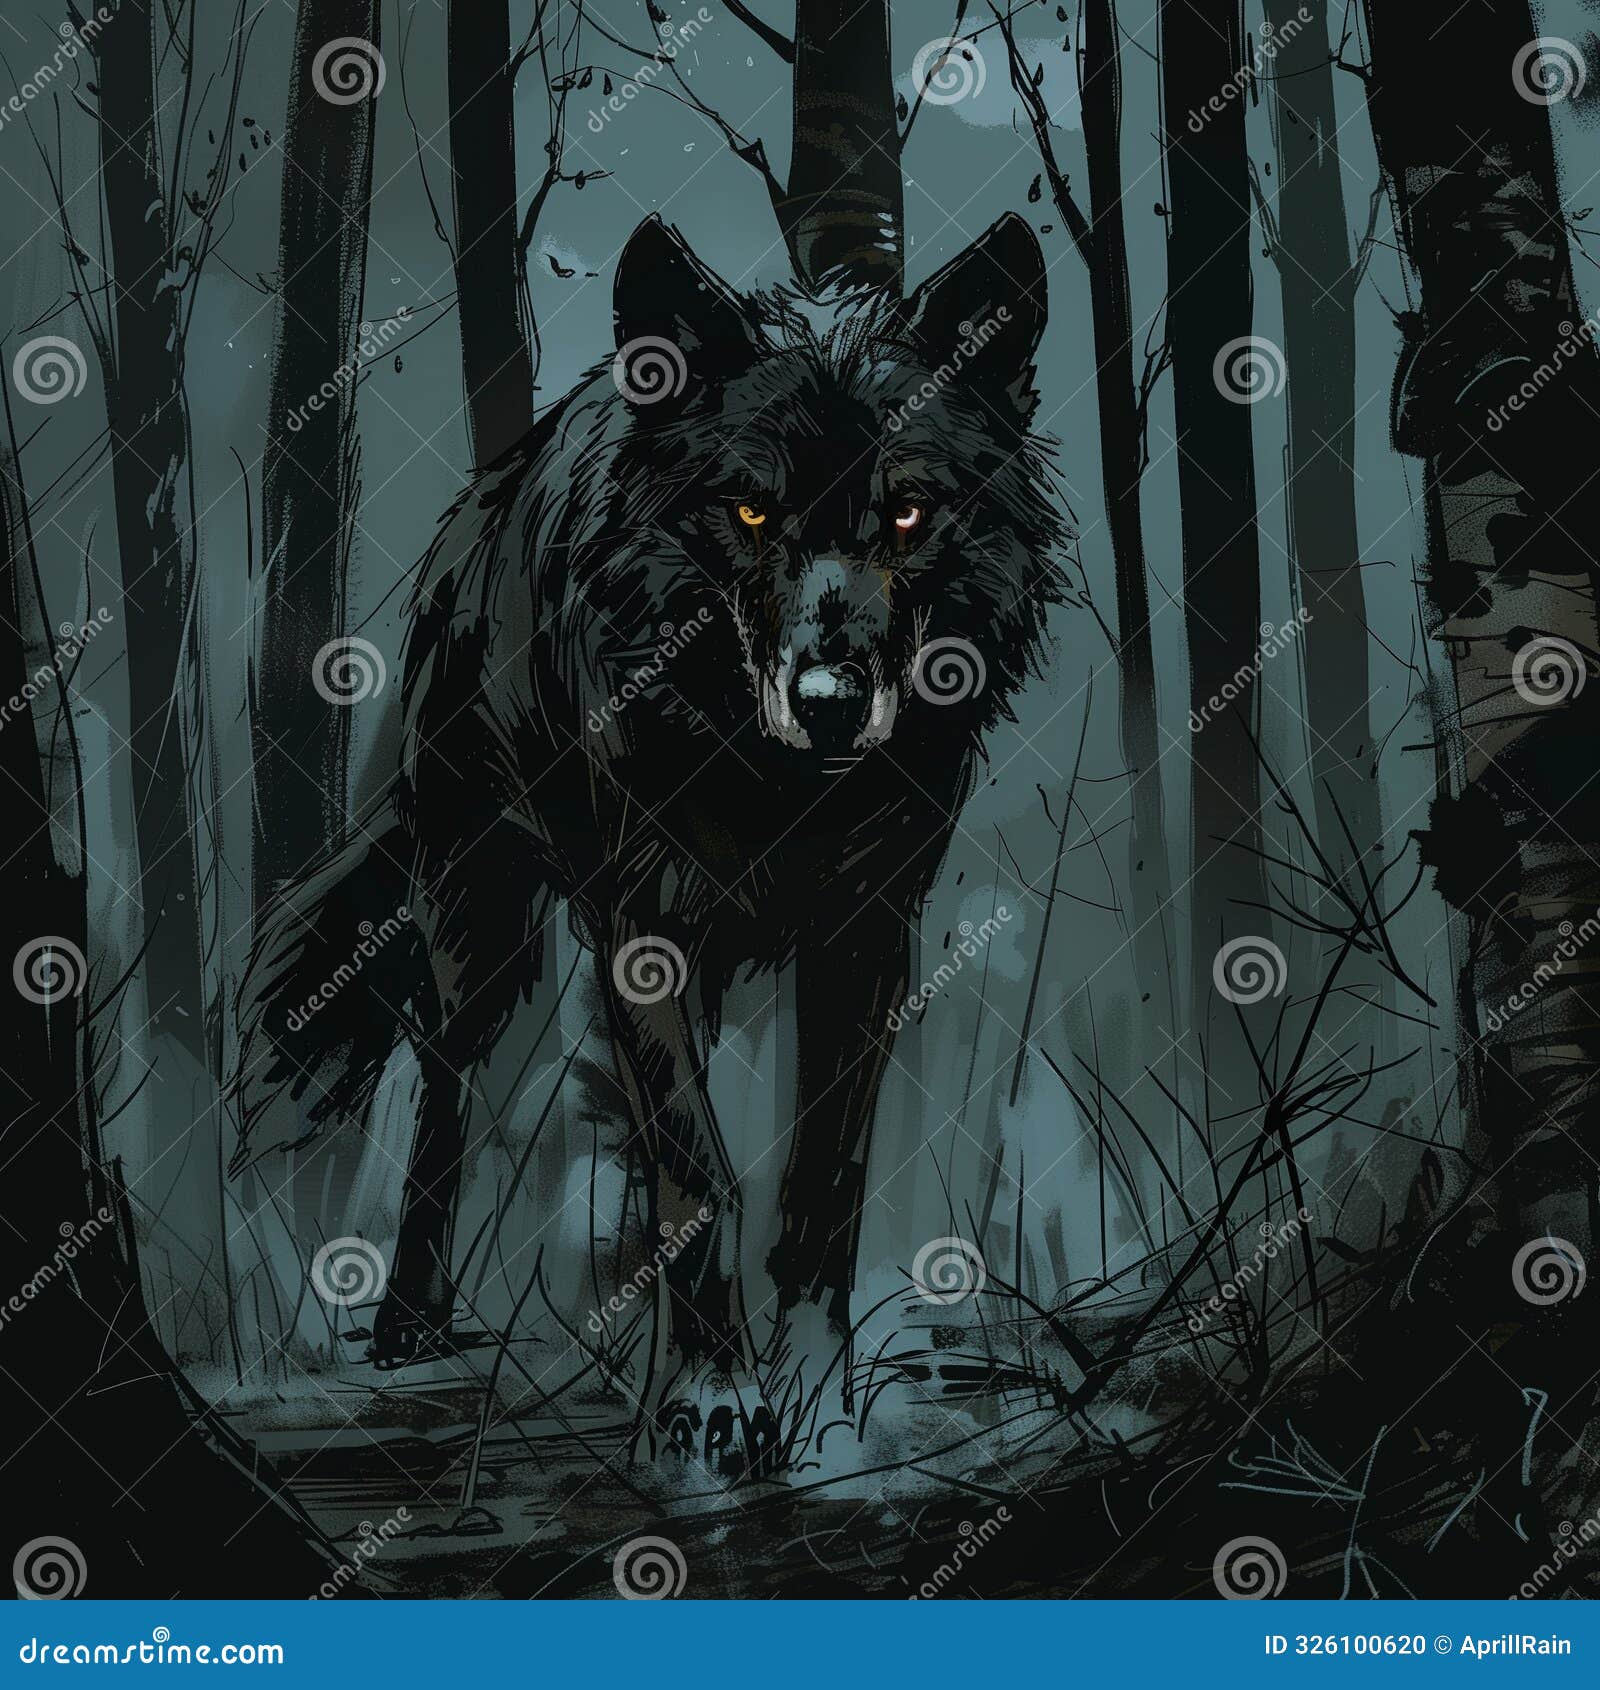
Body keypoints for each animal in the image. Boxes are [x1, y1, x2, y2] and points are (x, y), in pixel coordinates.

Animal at [233, 211, 1063, 1464]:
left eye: (908, 511)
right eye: (752, 509)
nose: (830, 699)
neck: (775, 787)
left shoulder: (866, 931)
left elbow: (819, 1184)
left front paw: (814, 1400)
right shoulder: (642, 924)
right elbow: (698, 1171)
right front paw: (712, 1395)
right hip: (480, 927)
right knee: (446, 1086)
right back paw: (411, 1320)